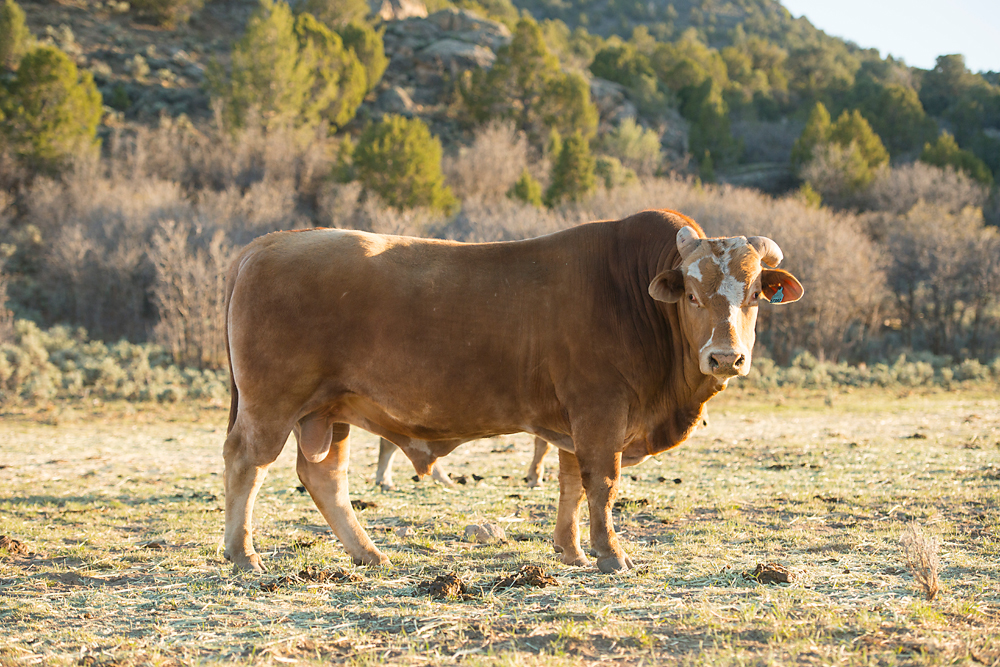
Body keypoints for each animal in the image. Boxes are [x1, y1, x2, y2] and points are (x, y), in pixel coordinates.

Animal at [222, 209, 802, 574]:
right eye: (693, 293)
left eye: (755, 294)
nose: (725, 357)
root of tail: (271, 242)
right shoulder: (600, 411)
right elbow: (601, 484)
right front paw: (611, 554)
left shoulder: (573, 424)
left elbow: (570, 485)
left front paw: (571, 551)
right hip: (272, 404)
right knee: (246, 463)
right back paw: (243, 554)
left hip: (328, 411)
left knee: (324, 477)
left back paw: (368, 554)